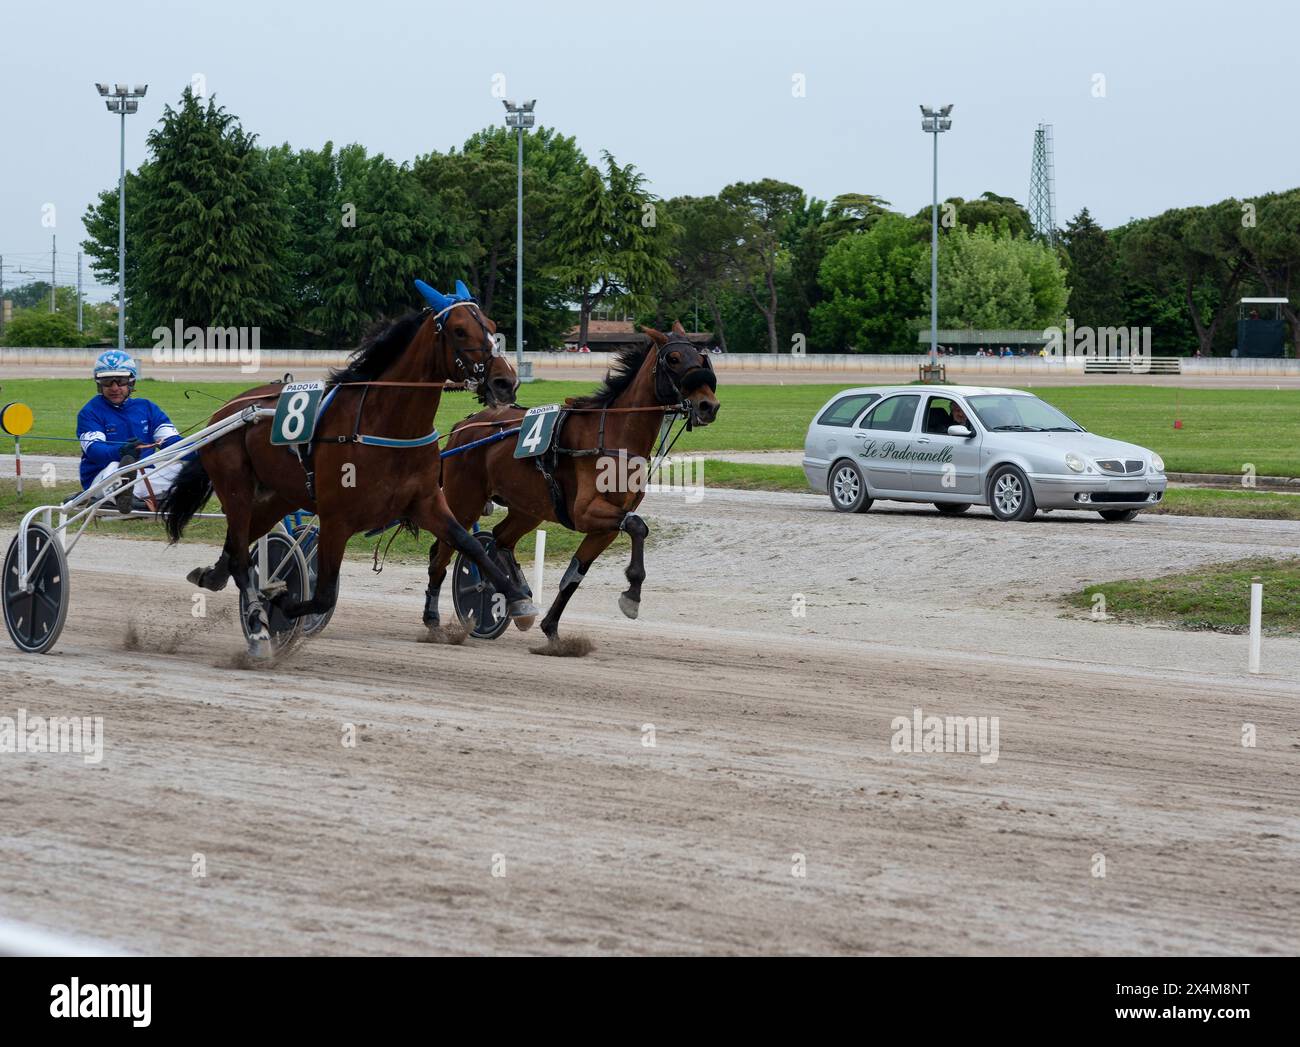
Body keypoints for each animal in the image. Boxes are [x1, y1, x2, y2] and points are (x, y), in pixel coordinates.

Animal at [160, 280, 540, 655]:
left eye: (491, 326)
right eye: (460, 330)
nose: (505, 383)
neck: (387, 424)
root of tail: (227, 410)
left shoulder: (426, 502)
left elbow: (469, 543)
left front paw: (519, 600)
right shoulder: (336, 518)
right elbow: (323, 594)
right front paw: (279, 600)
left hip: (278, 497)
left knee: (236, 546)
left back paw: (212, 575)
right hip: (235, 486)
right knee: (241, 556)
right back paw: (258, 629)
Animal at [426, 323, 720, 645]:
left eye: (702, 358)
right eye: (674, 359)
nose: (709, 406)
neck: (613, 435)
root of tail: (463, 426)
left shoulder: (605, 527)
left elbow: (575, 574)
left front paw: (551, 629)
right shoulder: (585, 512)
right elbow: (637, 525)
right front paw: (631, 596)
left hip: (528, 507)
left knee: (501, 539)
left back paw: (520, 599)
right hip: (465, 500)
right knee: (445, 551)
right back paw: (434, 619)